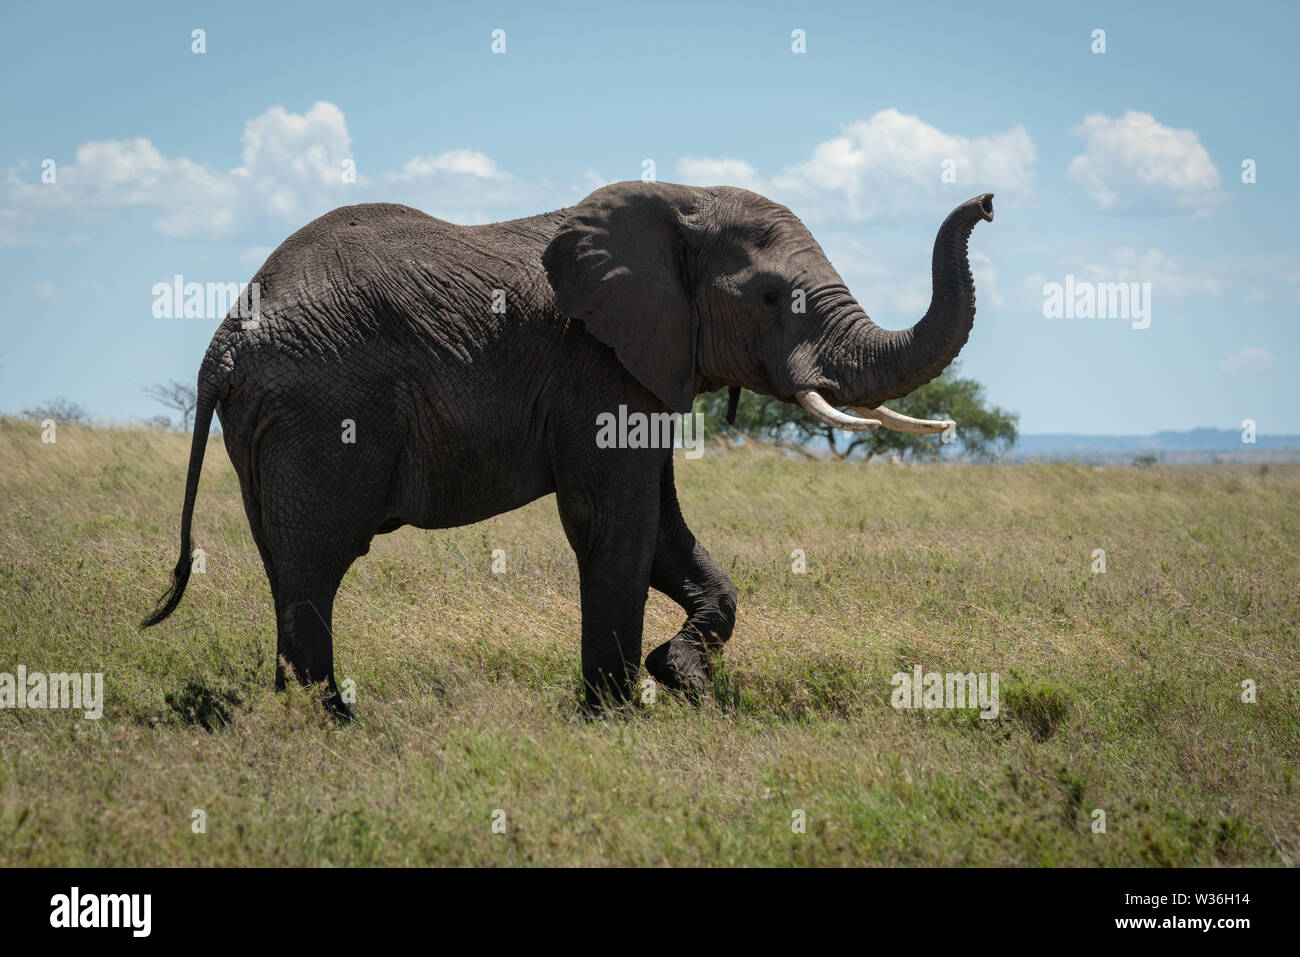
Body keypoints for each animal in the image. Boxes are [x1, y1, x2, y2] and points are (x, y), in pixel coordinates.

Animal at [142, 181, 994, 717]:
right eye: (769, 297)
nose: (987, 202)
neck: (678, 199)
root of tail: (222, 343)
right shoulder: (595, 364)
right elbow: (616, 525)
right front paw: (617, 713)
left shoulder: (647, 366)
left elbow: (662, 526)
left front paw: (677, 675)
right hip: (320, 414)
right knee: (316, 567)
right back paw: (334, 722)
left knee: (286, 562)